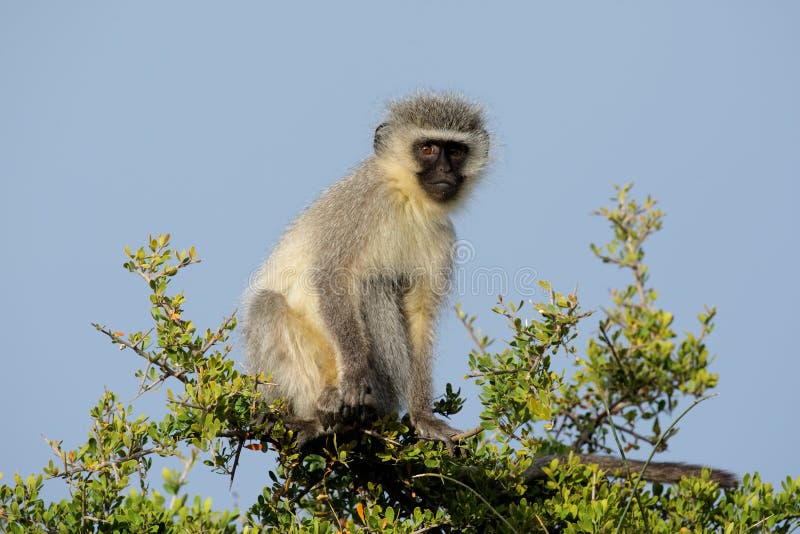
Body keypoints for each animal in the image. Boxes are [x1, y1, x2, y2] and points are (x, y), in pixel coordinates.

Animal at [242, 92, 491, 448]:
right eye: (428, 148)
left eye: (456, 151)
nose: (445, 169)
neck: (408, 200)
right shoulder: (357, 205)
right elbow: (331, 277)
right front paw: (357, 376)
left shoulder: (443, 238)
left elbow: (419, 315)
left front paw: (423, 418)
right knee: (268, 305)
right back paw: (317, 418)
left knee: (376, 284)